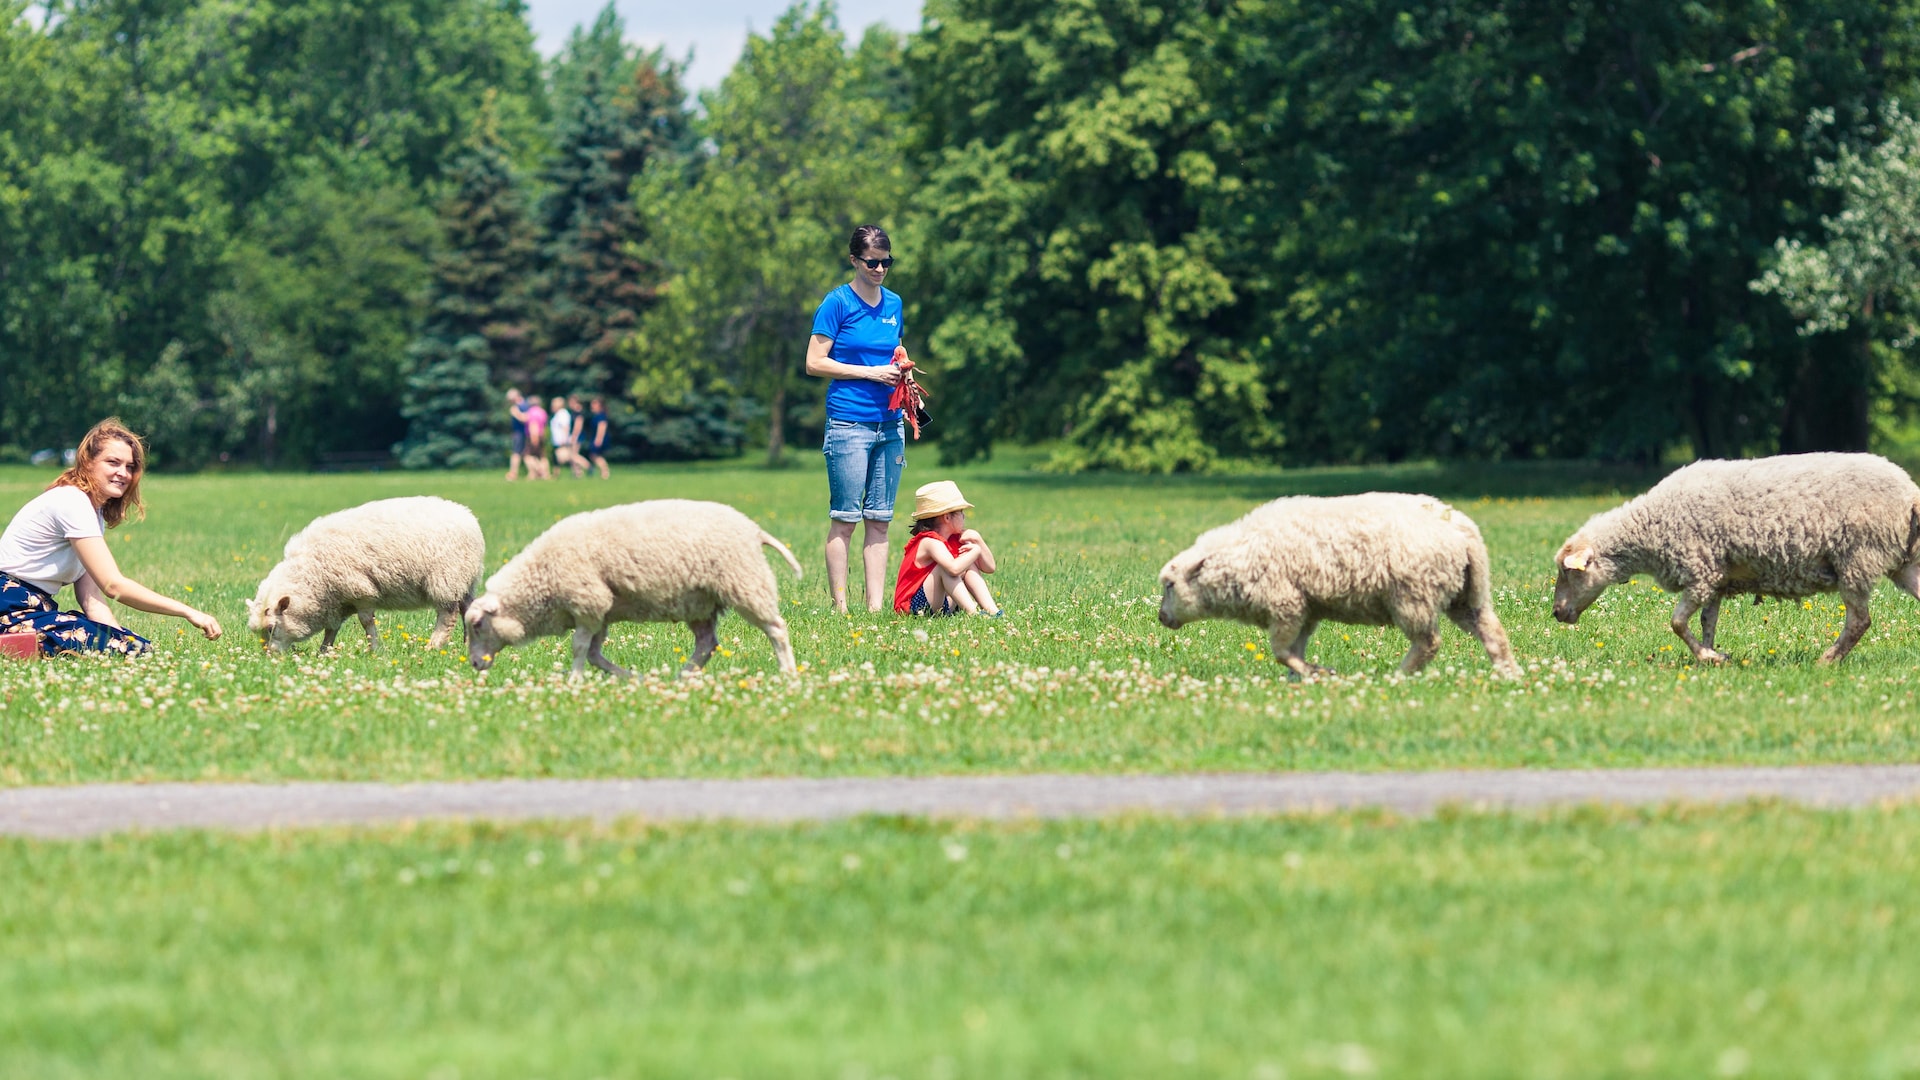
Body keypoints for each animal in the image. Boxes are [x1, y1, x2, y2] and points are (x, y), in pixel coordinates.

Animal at [243, 495, 483, 645]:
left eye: (271, 628)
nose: (270, 659)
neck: (311, 576)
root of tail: (469, 517)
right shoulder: (337, 602)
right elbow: (332, 629)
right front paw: (324, 652)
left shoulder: (360, 591)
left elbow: (367, 623)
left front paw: (375, 650)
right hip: (465, 581)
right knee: (468, 609)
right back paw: (467, 646)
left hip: (446, 579)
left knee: (447, 616)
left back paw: (433, 646)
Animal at [468, 495, 806, 672]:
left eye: (477, 625)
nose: (473, 663)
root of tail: (754, 530)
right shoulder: (599, 612)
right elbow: (594, 653)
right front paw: (630, 678)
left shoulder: (588, 601)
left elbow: (579, 649)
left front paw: (575, 679)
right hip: (699, 603)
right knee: (707, 643)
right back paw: (682, 677)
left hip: (745, 583)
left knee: (777, 629)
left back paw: (788, 673)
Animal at [1152, 491, 1512, 676]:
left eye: (1169, 584)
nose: (1161, 617)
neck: (1240, 557)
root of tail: (1462, 528)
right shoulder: (1304, 610)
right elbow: (1292, 650)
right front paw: (1300, 678)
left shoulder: (1286, 603)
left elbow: (1281, 651)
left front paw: (1314, 672)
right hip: (1466, 594)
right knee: (1492, 632)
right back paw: (1509, 674)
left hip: (1413, 595)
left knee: (1429, 642)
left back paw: (1398, 676)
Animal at [1543, 449, 1920, 661]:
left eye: (1569, 572)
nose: (1557, 613)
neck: (1650, 527)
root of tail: (1909, 491)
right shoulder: (1716, 577)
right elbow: (1706, 621)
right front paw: (1711, 652)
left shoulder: (1700, 570)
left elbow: (1677, 622)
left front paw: (1708, 658)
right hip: (1902, 561)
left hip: (1858, 557)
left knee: (1859, 621)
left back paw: (1827, 660)